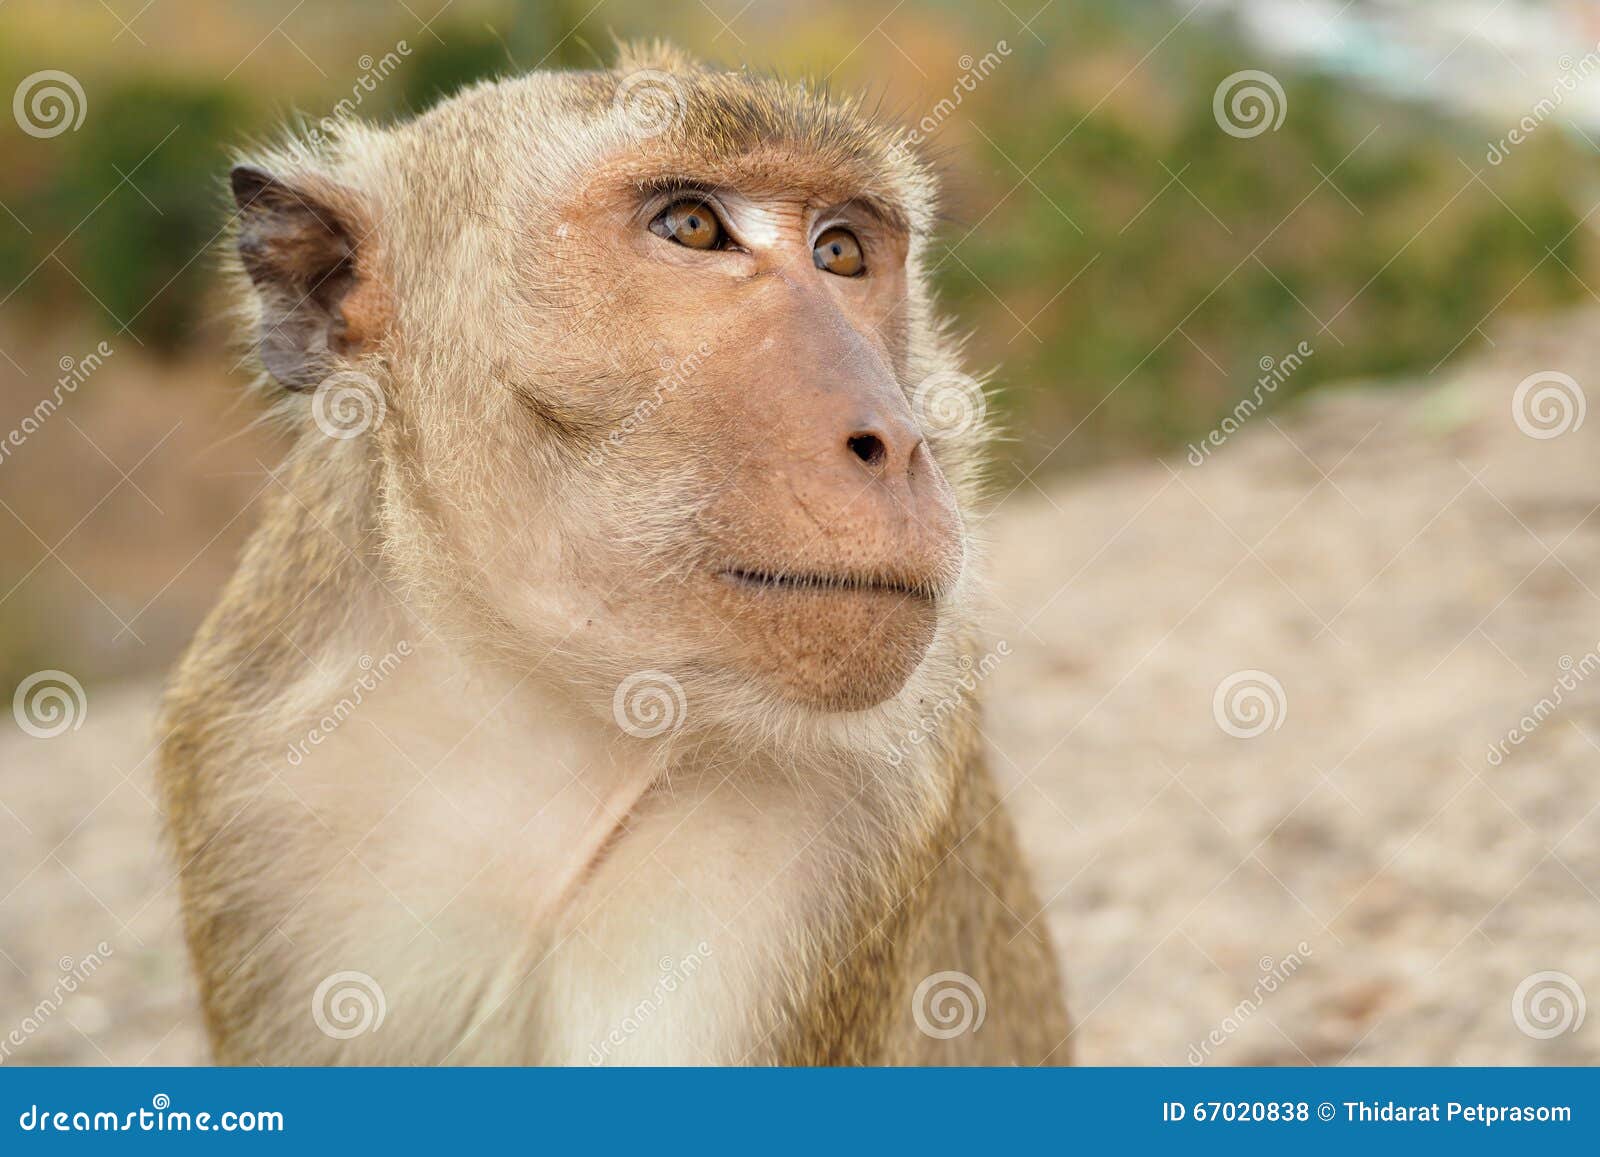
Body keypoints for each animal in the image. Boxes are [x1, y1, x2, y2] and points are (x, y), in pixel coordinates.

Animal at [156, 41, 1071, 1065]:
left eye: (841, 251)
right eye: (693, 226)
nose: (900, 440)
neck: (539, 704)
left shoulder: (826, 836)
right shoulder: (259, 784)